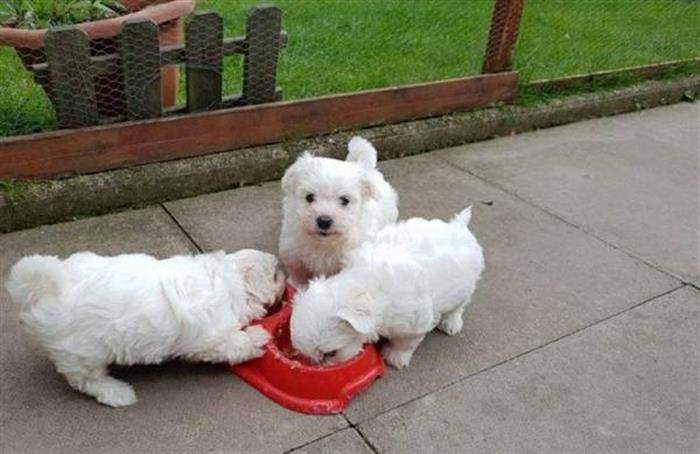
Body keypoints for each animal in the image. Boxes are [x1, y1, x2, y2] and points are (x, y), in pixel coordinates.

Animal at [4, 248, 284, 408]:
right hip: (82, 352)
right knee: (87, 380)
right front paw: (257, 337)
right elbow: (234, 343)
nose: (286, 277)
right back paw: (118, 393)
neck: (228, 280)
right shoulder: (212, 336)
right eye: (276, 275)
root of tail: (44, 290)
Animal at [278, 137, 400, 290]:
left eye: (344, 200)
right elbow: (298, 272)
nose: (324, 221)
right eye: (309, 197)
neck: (324, 243)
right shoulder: (293, 252)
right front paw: (298, 287)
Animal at [288, 207, 482, 370]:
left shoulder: (414, 324)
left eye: (331, 353)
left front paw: (395, 357)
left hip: (466, 287)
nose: (319, 365)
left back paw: (451, 323)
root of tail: (459, 227)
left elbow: (404, 343)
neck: (370, 286)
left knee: (459, 307)